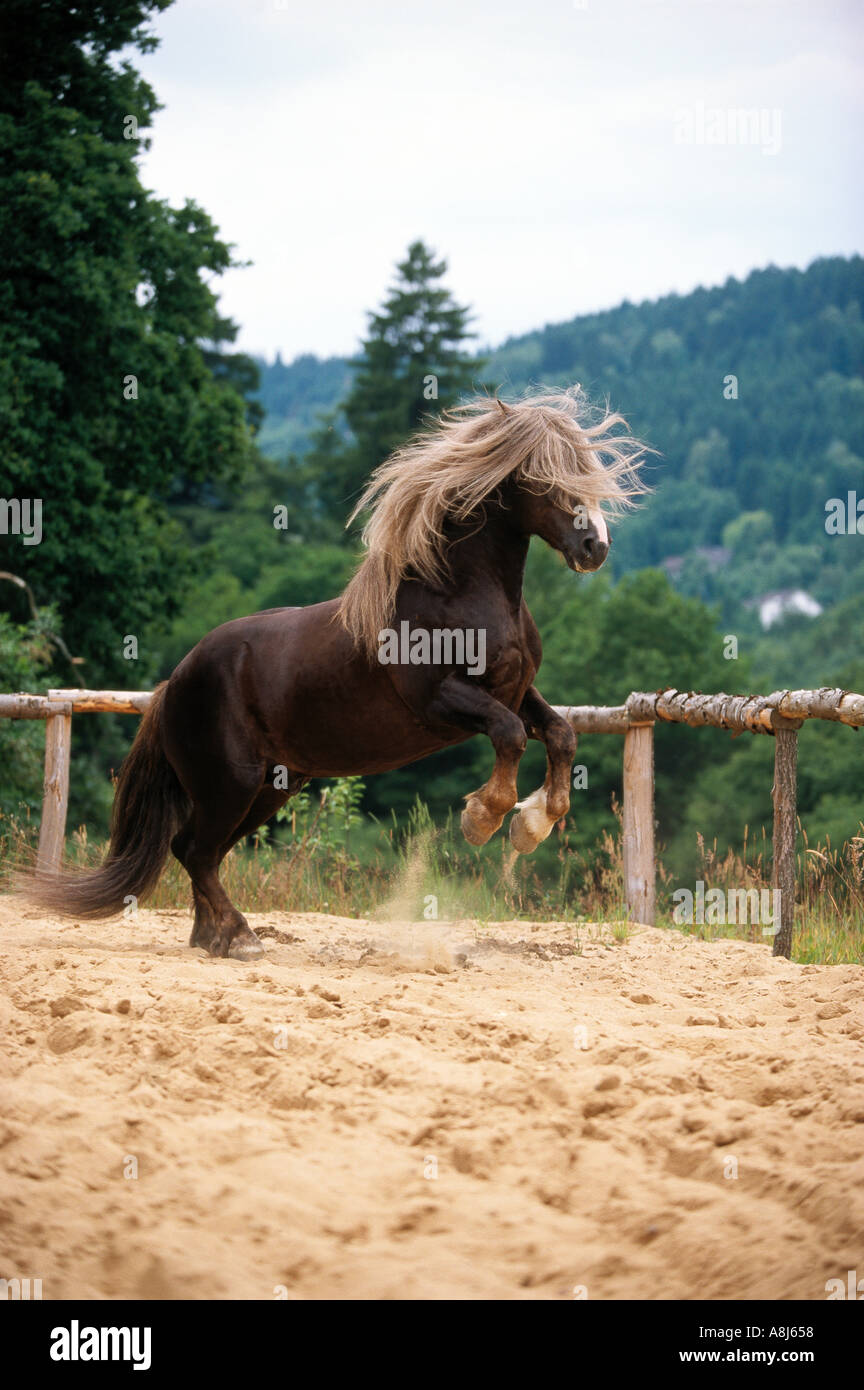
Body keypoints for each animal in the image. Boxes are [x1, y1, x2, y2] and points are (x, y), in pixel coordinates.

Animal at [30, 389, 647, 959]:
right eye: (545, 476)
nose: (594, 546)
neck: (459, 593)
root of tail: (173, 682)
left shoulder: (515, 690)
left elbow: (560, 734)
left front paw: (530, 824)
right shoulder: (442, 701)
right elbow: (511, 735)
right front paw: (484, 817)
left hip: (268, 789)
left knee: (196, 851)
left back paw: (213, 938)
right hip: (231, 783)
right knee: (196, 853)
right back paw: (241, 939)